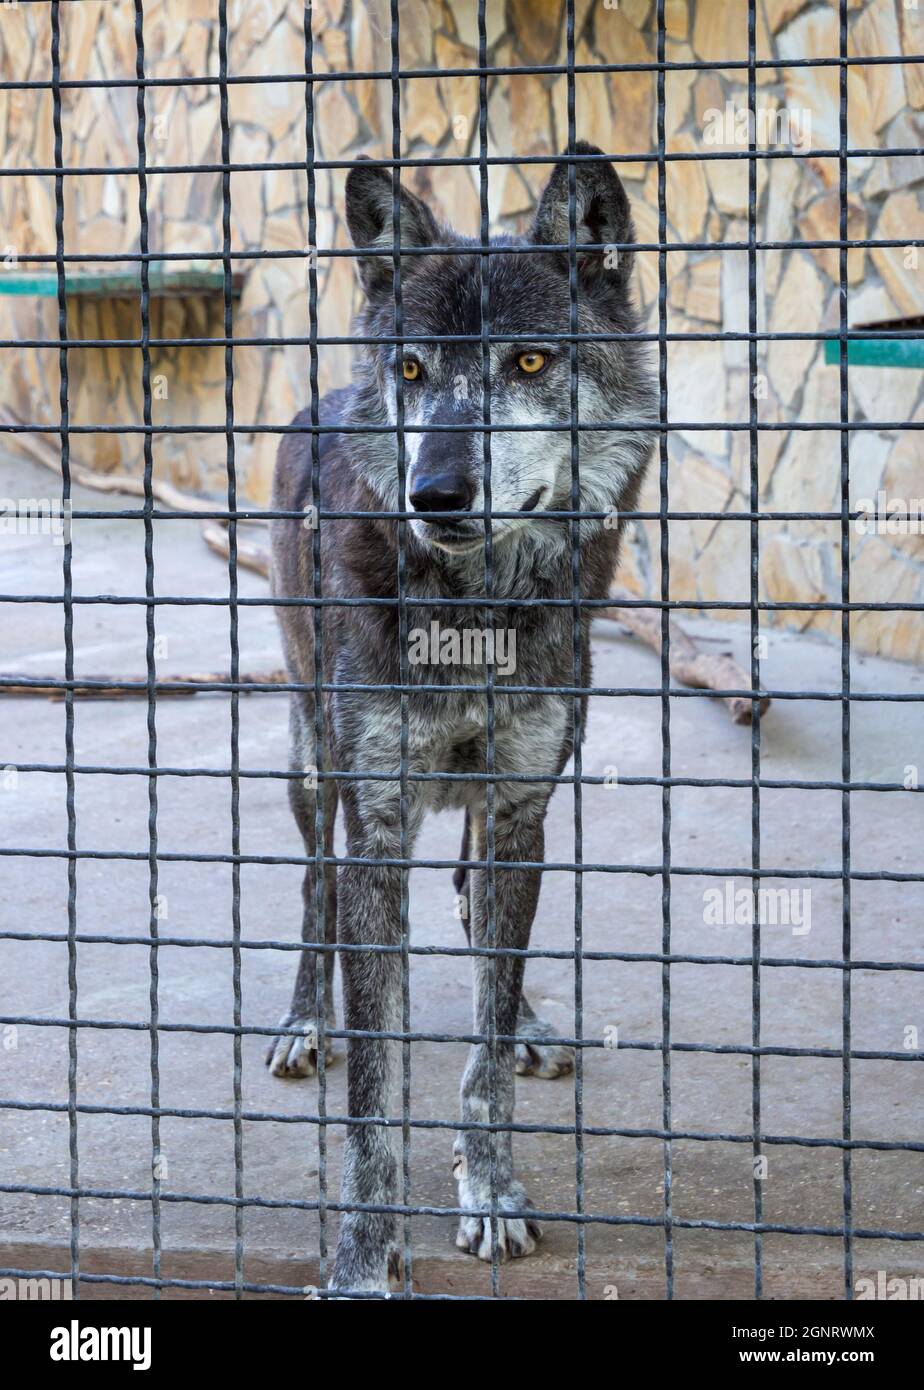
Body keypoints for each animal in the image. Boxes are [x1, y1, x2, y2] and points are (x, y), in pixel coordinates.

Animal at [266, 142, 656, 1294]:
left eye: (528, 364)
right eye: (410, 374)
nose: (435, 493)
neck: (475, 616)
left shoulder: (525, 803)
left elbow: (483, 1047)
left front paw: (489, 1188)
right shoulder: (378, 825)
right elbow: (373, 1088)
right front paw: (363, 1254)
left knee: (480, 907)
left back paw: (526, 1013)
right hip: (310, 765)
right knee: (313, 881)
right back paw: (304, 1016)